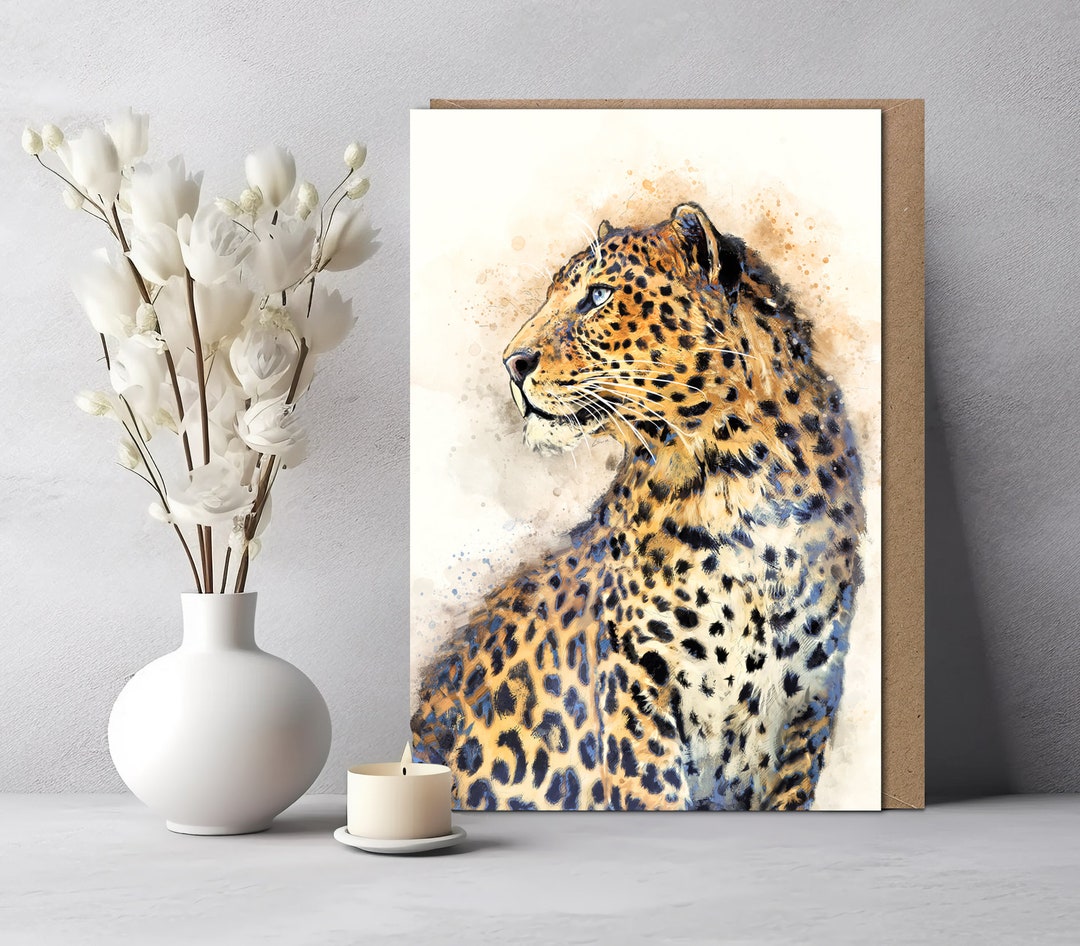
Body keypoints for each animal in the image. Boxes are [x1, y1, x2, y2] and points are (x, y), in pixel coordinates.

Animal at [411, 202, 865, 811]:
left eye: (599, 297)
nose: (511, 362)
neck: (740, 488)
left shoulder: (808, 705)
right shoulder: (638, 691)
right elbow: (653, 789)